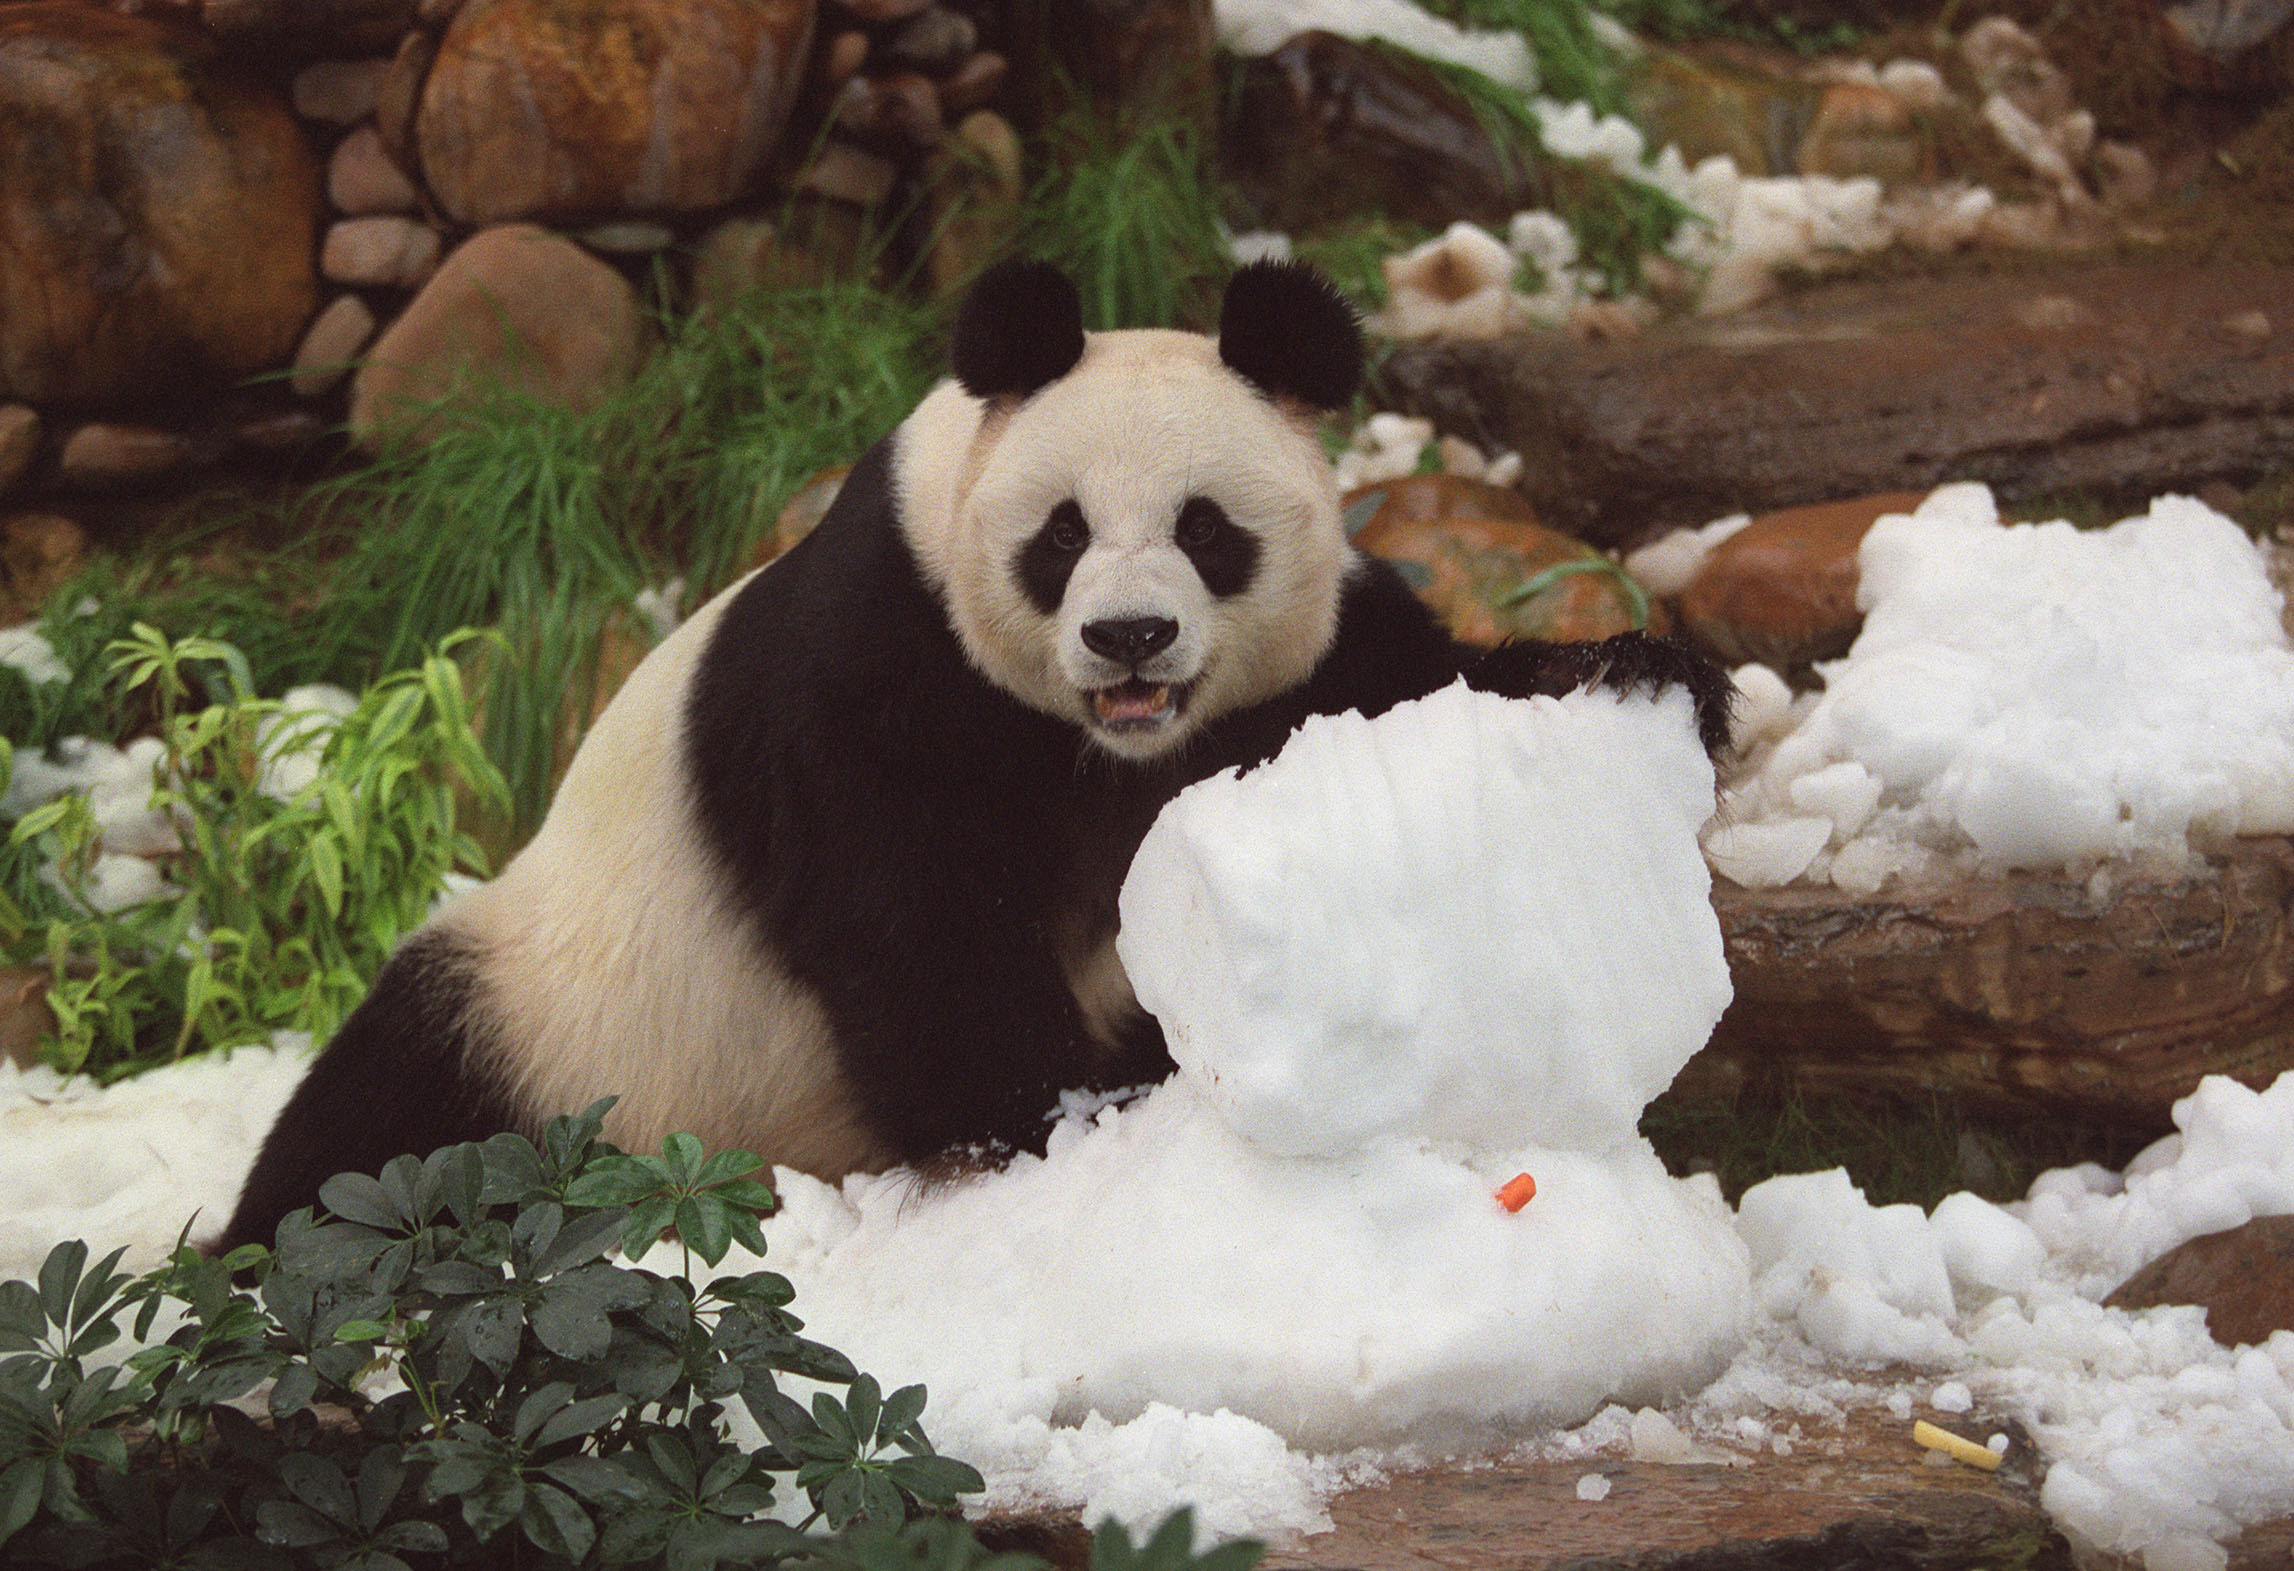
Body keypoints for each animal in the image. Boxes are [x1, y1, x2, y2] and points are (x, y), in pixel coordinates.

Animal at [214, 258, 1729, 1253]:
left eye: (1205, 528)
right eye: (1060, 534)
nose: (1128, 637)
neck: (1107, 747)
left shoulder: (1304, 665)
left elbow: (1411, 682)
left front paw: (1638, 672)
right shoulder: (873, 672)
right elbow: (913, 932)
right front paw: (1080, 1112)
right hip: (557, 1009)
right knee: (392, 1117)